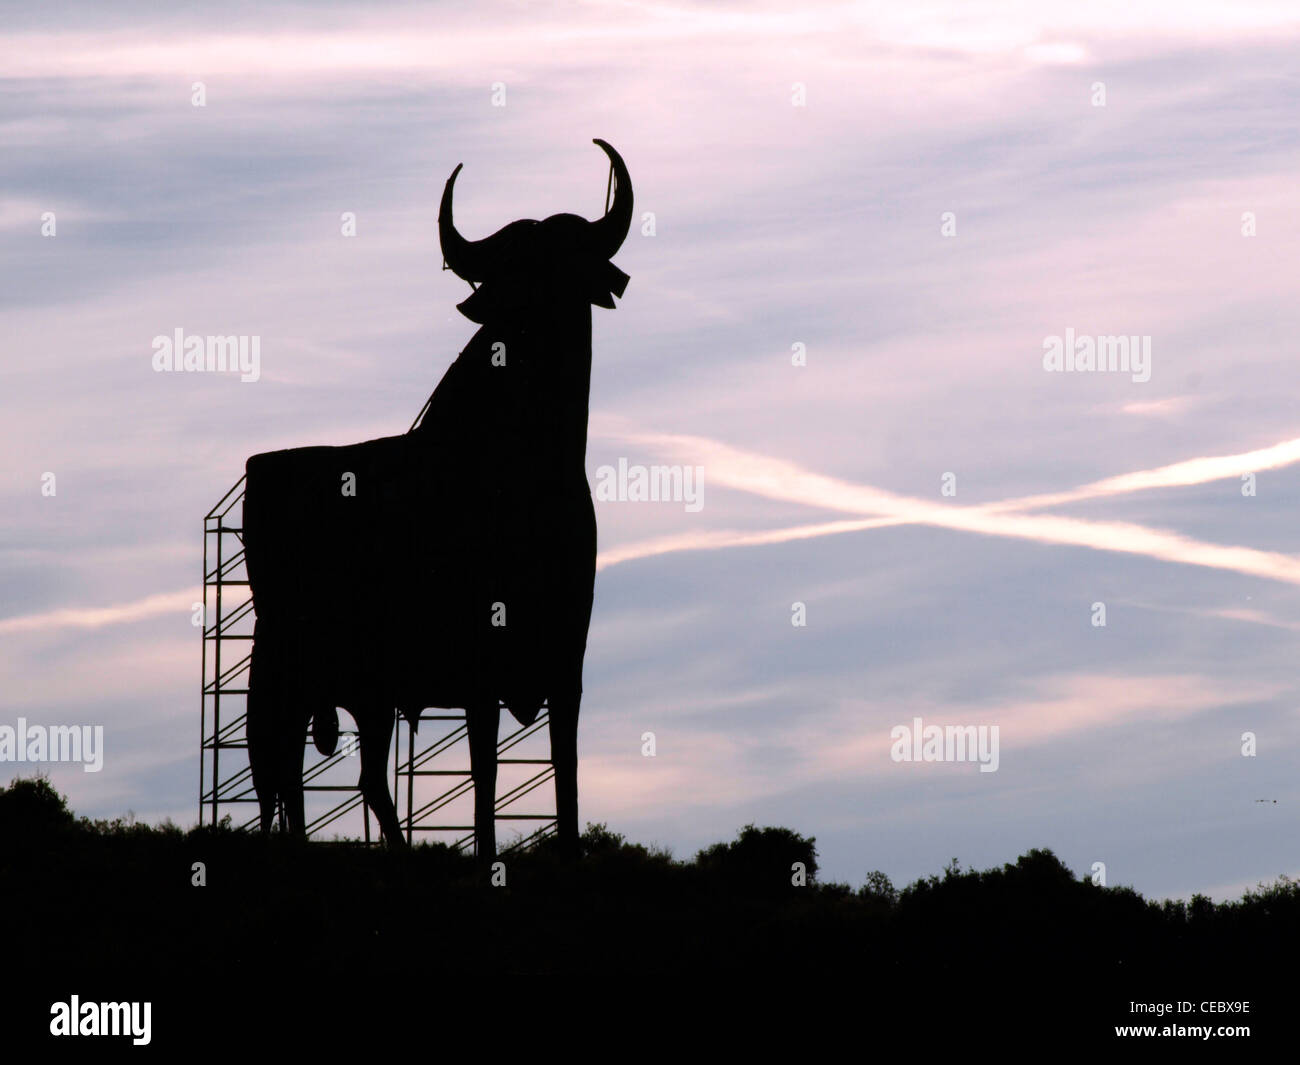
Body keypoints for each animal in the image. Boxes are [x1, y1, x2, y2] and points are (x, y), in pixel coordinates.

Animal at [243, 140, 633, 859]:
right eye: (512, 277)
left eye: (567, 268)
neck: (534, 469)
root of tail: (263, 470)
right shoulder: (480, 664)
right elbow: (484, 771)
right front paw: (485, 854)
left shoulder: (566, 661)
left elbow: (565, 769)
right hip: (287, 660)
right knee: (278, 766)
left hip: (362, 689)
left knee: (354, 774)